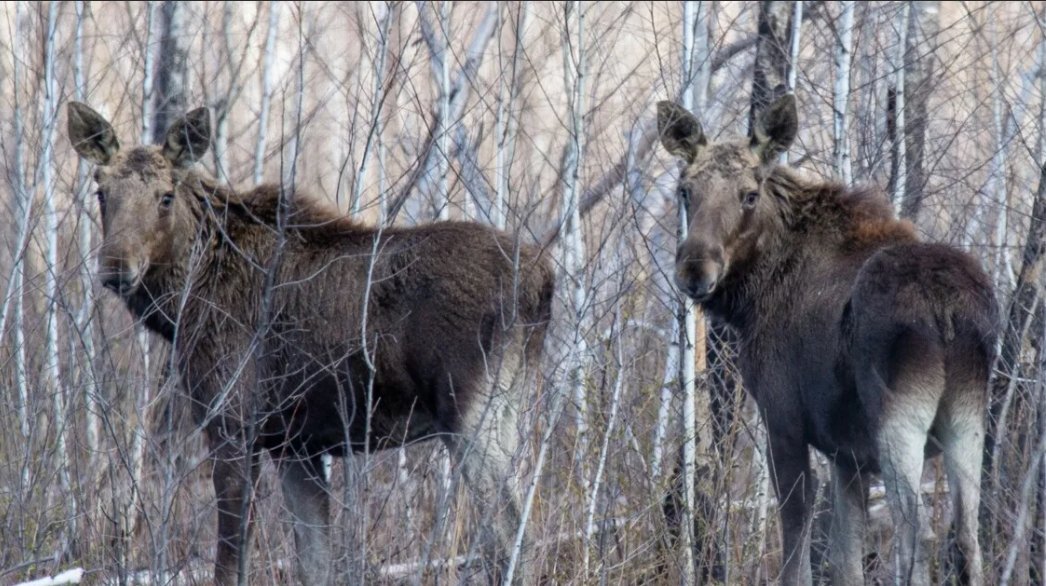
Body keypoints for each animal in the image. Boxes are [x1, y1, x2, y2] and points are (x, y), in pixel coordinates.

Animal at [67, 103, 556, 581]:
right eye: (101, 192)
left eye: (166, 196)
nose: (116, 268)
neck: (183, 305)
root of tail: (543, 281)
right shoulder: (296, 445)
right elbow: (315, 562)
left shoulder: (232, 423)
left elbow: (230, 562)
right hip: (507, 410)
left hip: (472, 411)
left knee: (512, 538)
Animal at [656, 93, 999, 581]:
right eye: (685, 190)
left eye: (749, 194)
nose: (695, 271)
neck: (753, 299)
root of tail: (946, 309)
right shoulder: (848, 456)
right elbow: (846, 559)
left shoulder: (782, 418)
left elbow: (796, 542)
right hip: (967, 417)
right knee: (968, 538)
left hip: (899, 418)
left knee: (918, 535)